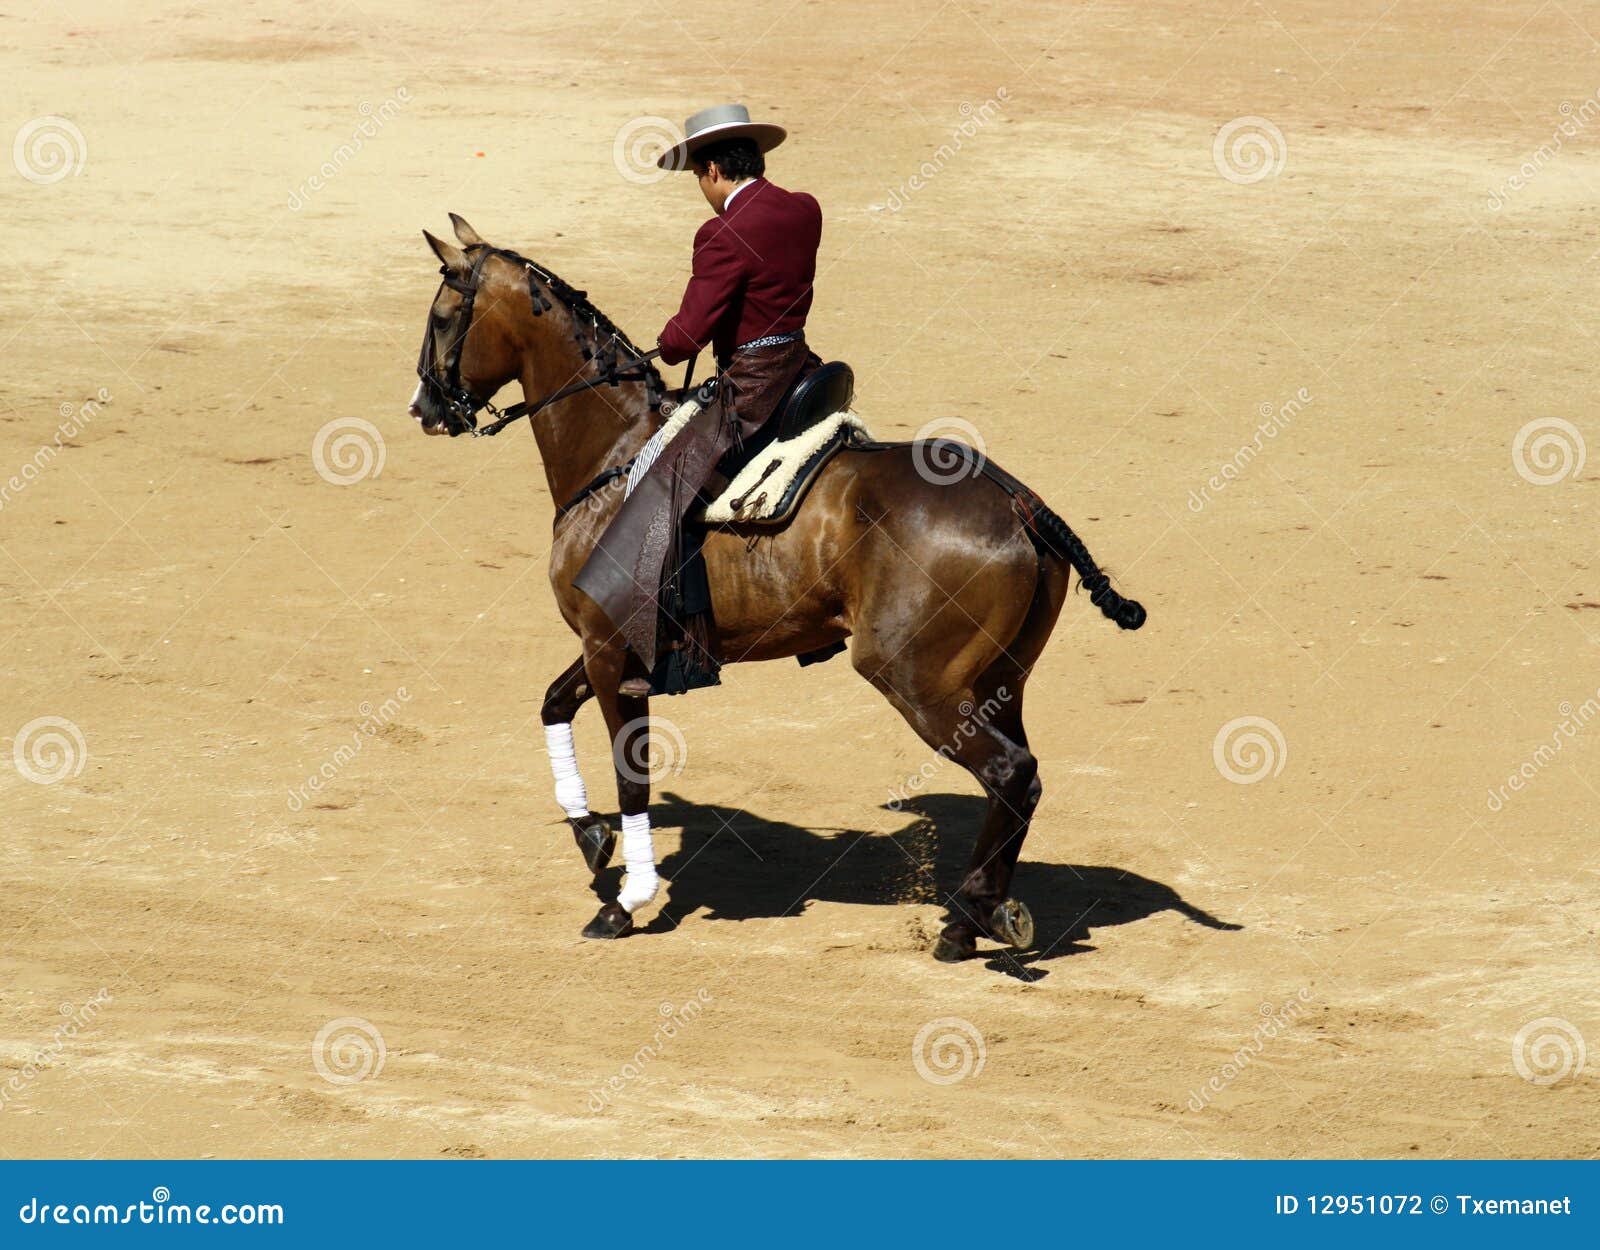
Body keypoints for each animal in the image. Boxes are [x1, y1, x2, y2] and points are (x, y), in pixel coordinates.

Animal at [407, 214, 1147, 962]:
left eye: (441, 318)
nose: (424, 408)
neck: (615, 455)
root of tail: (1017, 499)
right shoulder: (609, 645)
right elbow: (554, 704)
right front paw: (590, 833)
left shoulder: (611, 647)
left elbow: (629, 771)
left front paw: (625, 903)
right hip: (1001, 678)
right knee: (1019, 778)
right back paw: (978, 918)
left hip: (915, 678)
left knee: (1009, 773)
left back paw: (971, 921)